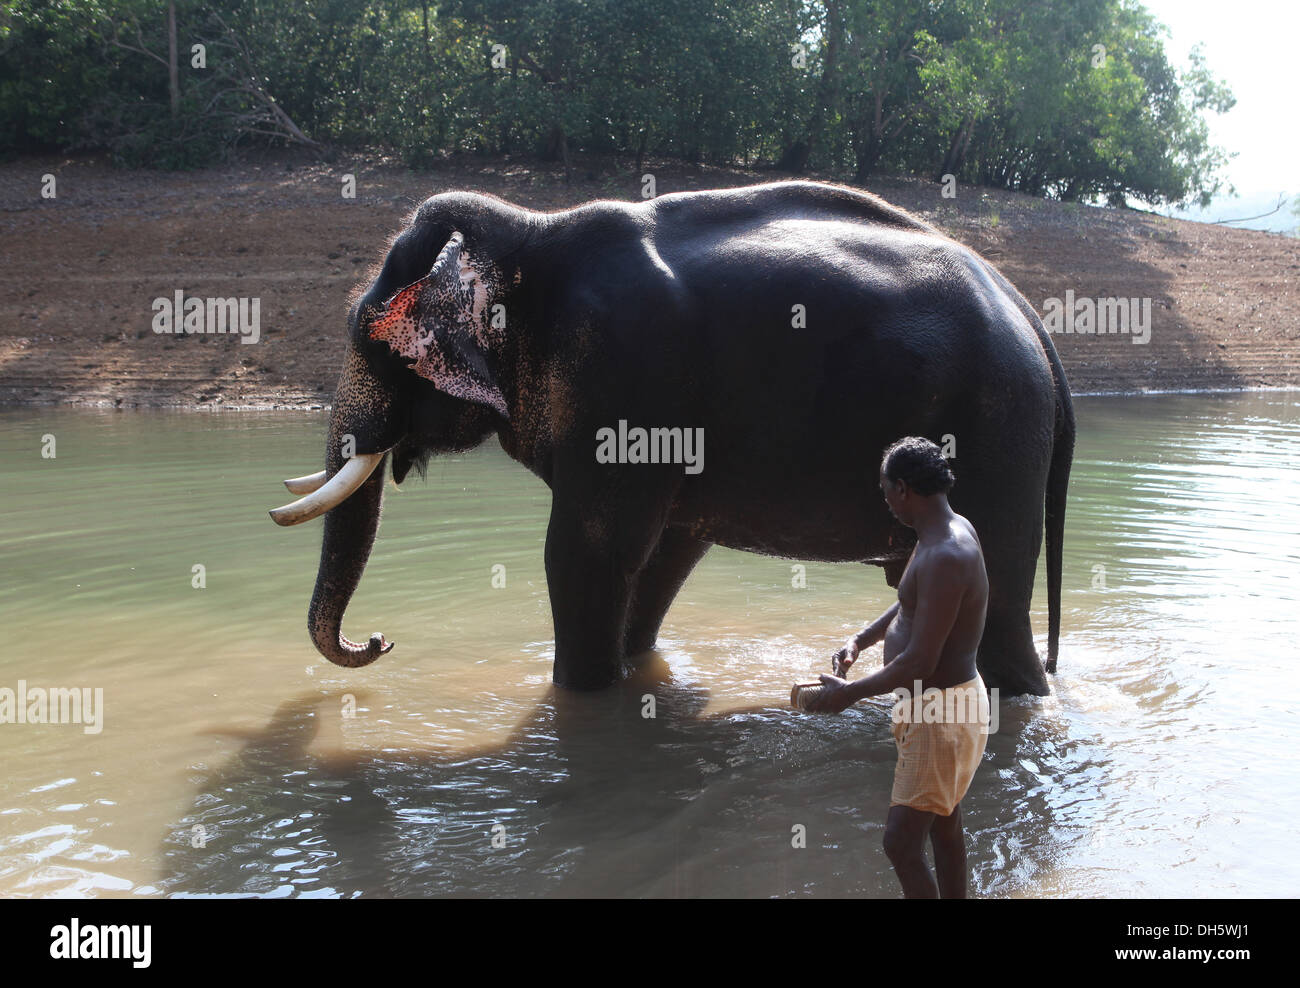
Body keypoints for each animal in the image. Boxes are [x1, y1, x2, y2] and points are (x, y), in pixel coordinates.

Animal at [270, 180, 1074, 696]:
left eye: (373, 340)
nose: (378, 641)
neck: (531, 231)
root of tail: (1034, 321)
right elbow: (664, 554)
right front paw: (634, 675)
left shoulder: (623, 380)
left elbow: (585, 552)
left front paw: (583, 700)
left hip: (1000, 435)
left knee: (1002, 612)